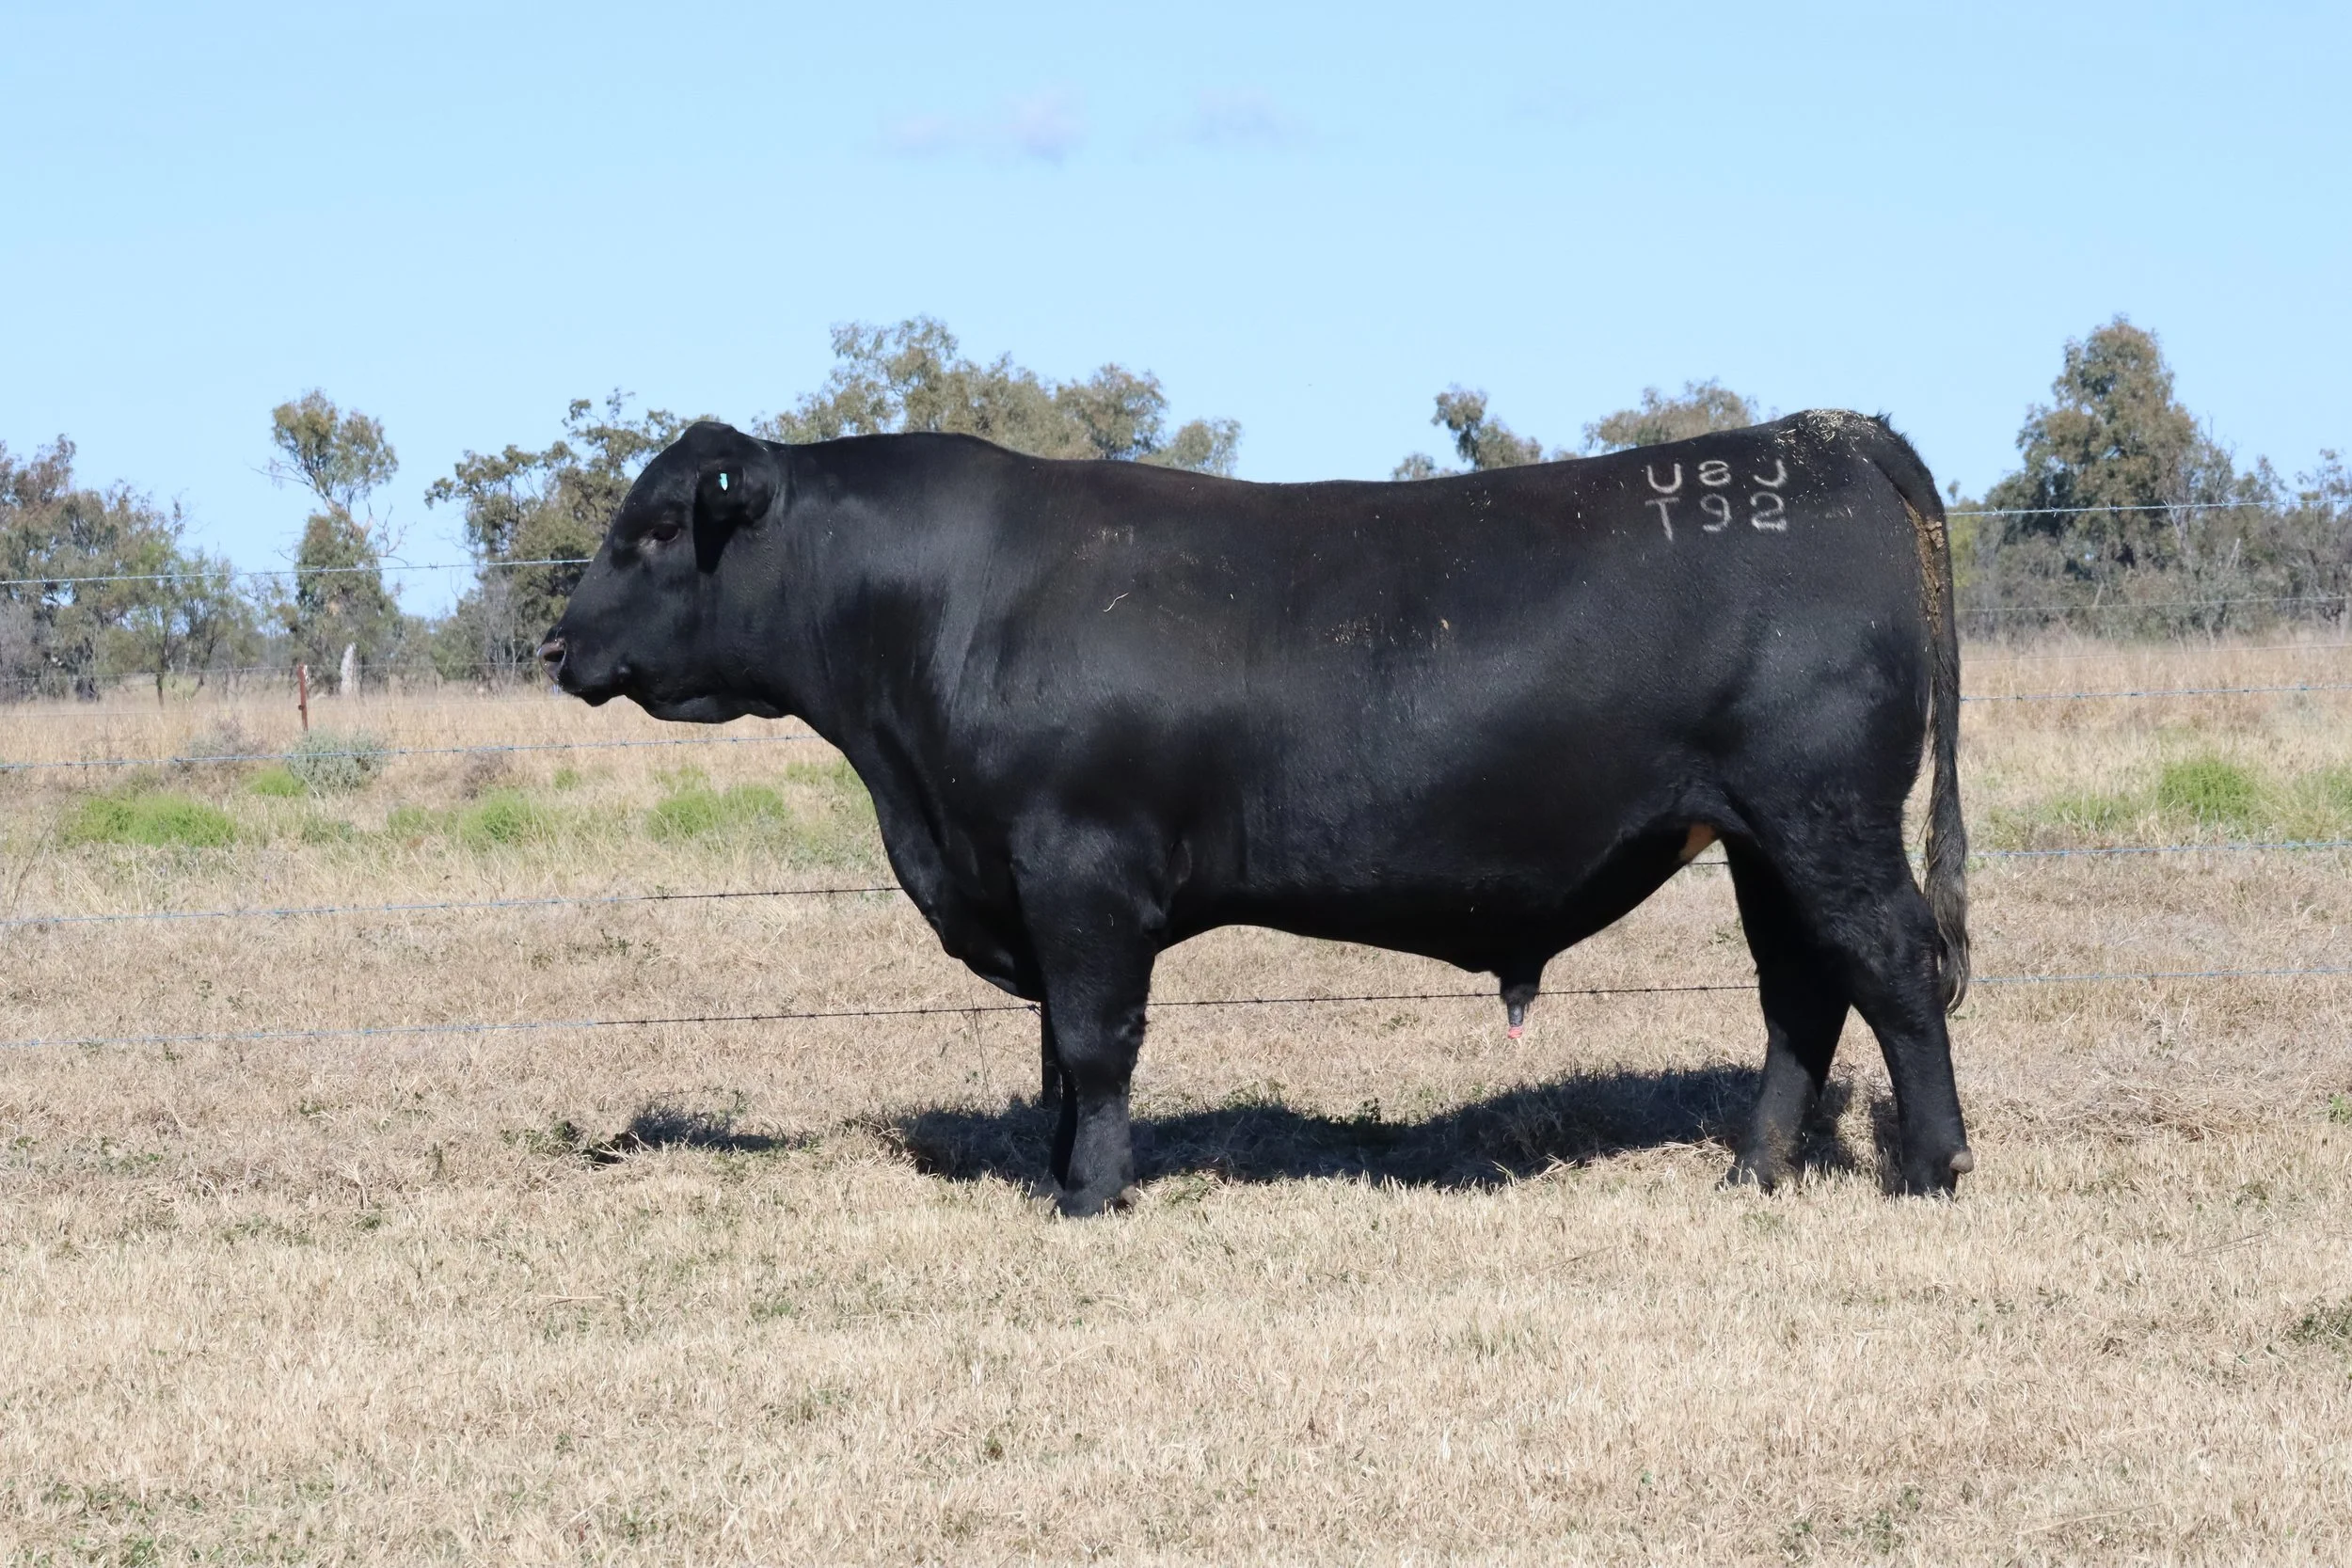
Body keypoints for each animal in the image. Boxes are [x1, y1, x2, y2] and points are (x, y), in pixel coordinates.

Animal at [539, 409, 1972, 1214]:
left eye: (656, 527)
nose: (557, 641)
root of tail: (1822, 434)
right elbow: (1057, 1050)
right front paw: (1060, 1166)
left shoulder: (1081, 866)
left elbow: (1096, 1039)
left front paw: (1089, 1194)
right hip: (1761, 835)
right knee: (1801, 990)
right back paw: (1754, 1169)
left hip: (1824, 813)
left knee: (1893, 966)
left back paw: (1936, 1169)